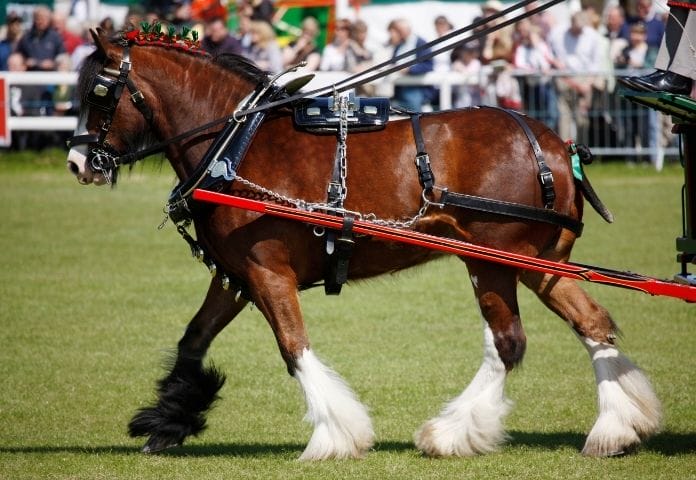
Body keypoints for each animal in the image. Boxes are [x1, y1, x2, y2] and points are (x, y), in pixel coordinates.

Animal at [66, 29, 661, 460]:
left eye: (99, 92)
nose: (77, 163)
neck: (236, 142)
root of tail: (555, 144)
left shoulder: (267, 272)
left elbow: (294, 347)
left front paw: (334, 435)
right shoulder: (236, 275)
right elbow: (194, 338)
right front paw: (167, 421)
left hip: (492, 259)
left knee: (508, 342)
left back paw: (450, 433)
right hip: (540, 263)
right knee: (592, 324)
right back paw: (614, 429)